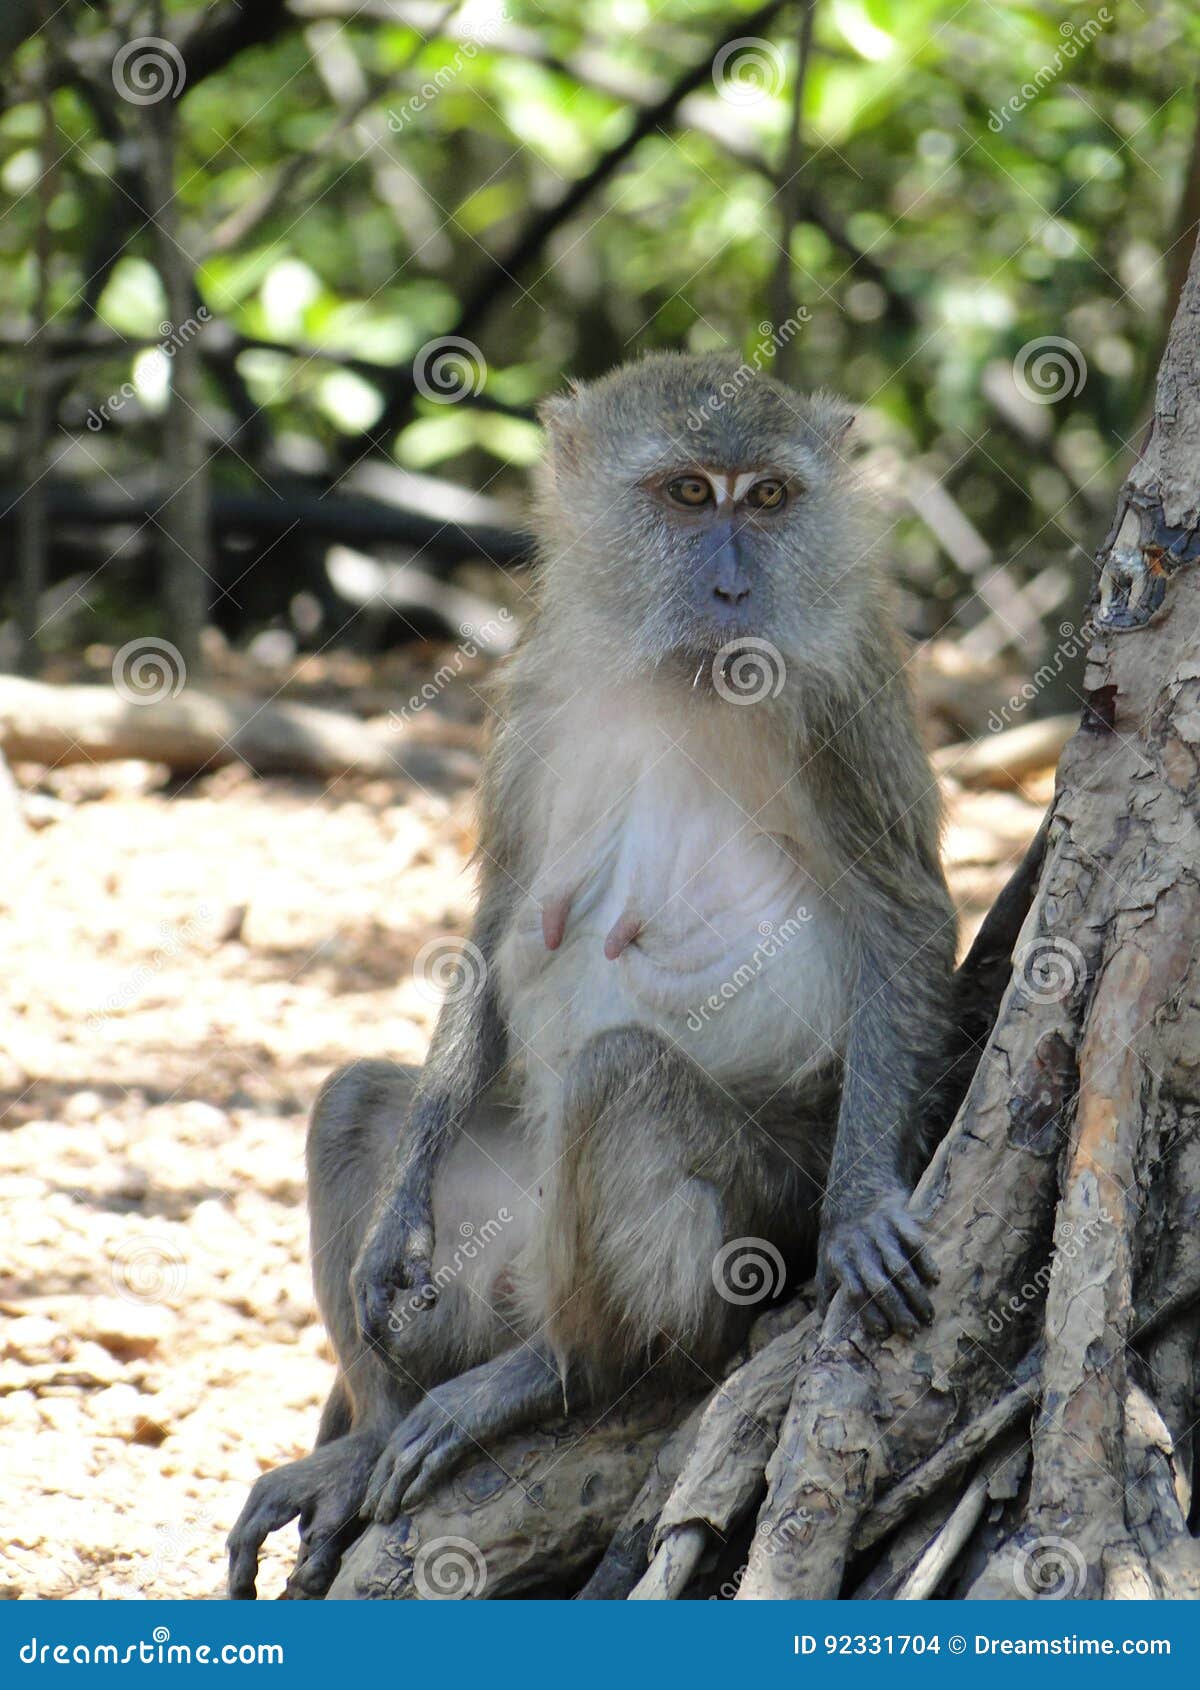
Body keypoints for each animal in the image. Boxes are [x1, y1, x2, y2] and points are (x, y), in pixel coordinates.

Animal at [227, 351, 958, 1599]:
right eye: (686, 495)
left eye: (769, 499)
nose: (733, 591)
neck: (680, 675)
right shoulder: (538, 680)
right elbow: (503, 914)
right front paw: (392, 1221)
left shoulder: (837, 684)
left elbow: (900, 910)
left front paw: (864, 1202)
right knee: (357, 1101)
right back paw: (374, 1428)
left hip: (755, 1211)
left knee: (618, 1080)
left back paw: (558, 1368)